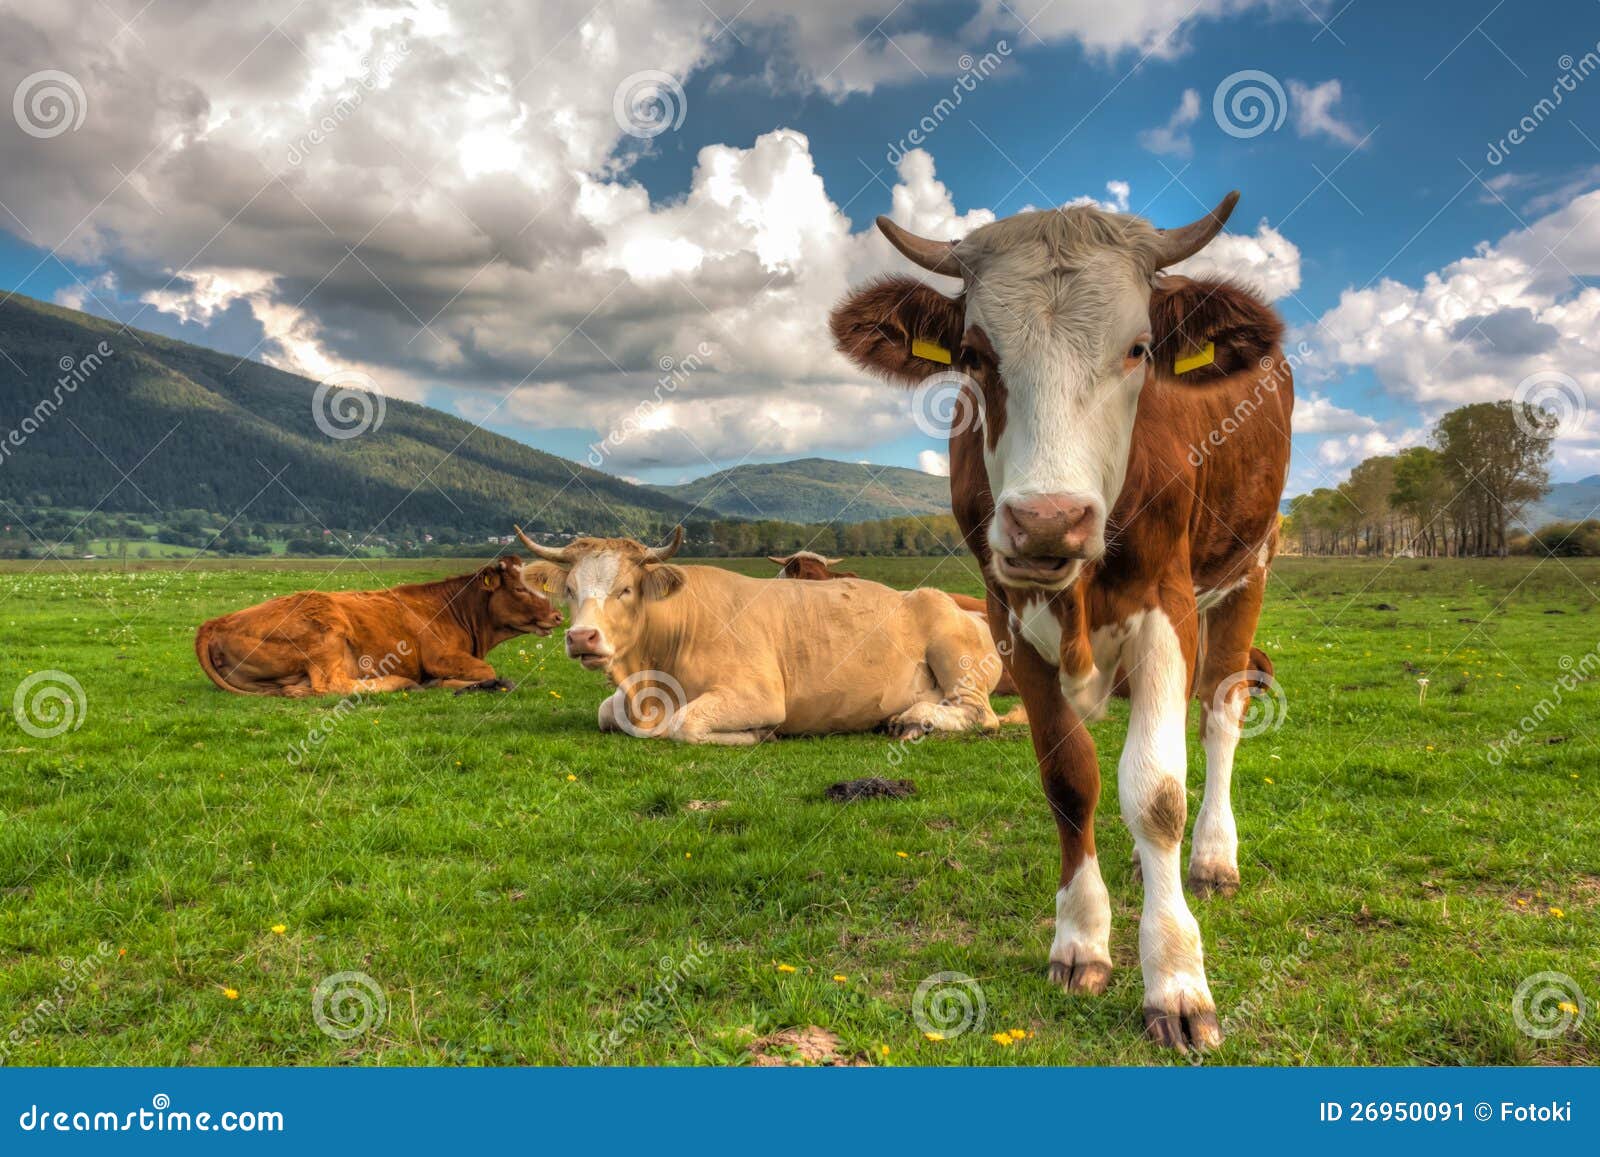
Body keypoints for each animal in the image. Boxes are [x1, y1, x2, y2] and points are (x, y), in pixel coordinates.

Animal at [195, 556, 561, 697]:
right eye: (519, 589)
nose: (557, 616)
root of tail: (214, 622)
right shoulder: (439, 656)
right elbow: (487, 671)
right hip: (326, 633)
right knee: (331, 686)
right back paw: (404, 682)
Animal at [516, 527, 1000, 743]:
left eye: (625, 589)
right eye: (571, 590)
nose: (582, 637)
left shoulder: (759, 694)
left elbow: (685, 724)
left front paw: (755, 735)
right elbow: (605, 711)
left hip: (955, 654)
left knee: (979, 714)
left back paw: (916, 717)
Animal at [831, 192, 1292, 1052]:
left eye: (1139, 348)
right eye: (975, 354)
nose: (1047, 520)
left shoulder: (1168, 604)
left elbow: (1157, 790)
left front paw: (1176, 976)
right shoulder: (1008, 616)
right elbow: (1070, 779)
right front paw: (1081, 938)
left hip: (1251, 563)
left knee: (1220, 710)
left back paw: (1212, 855)